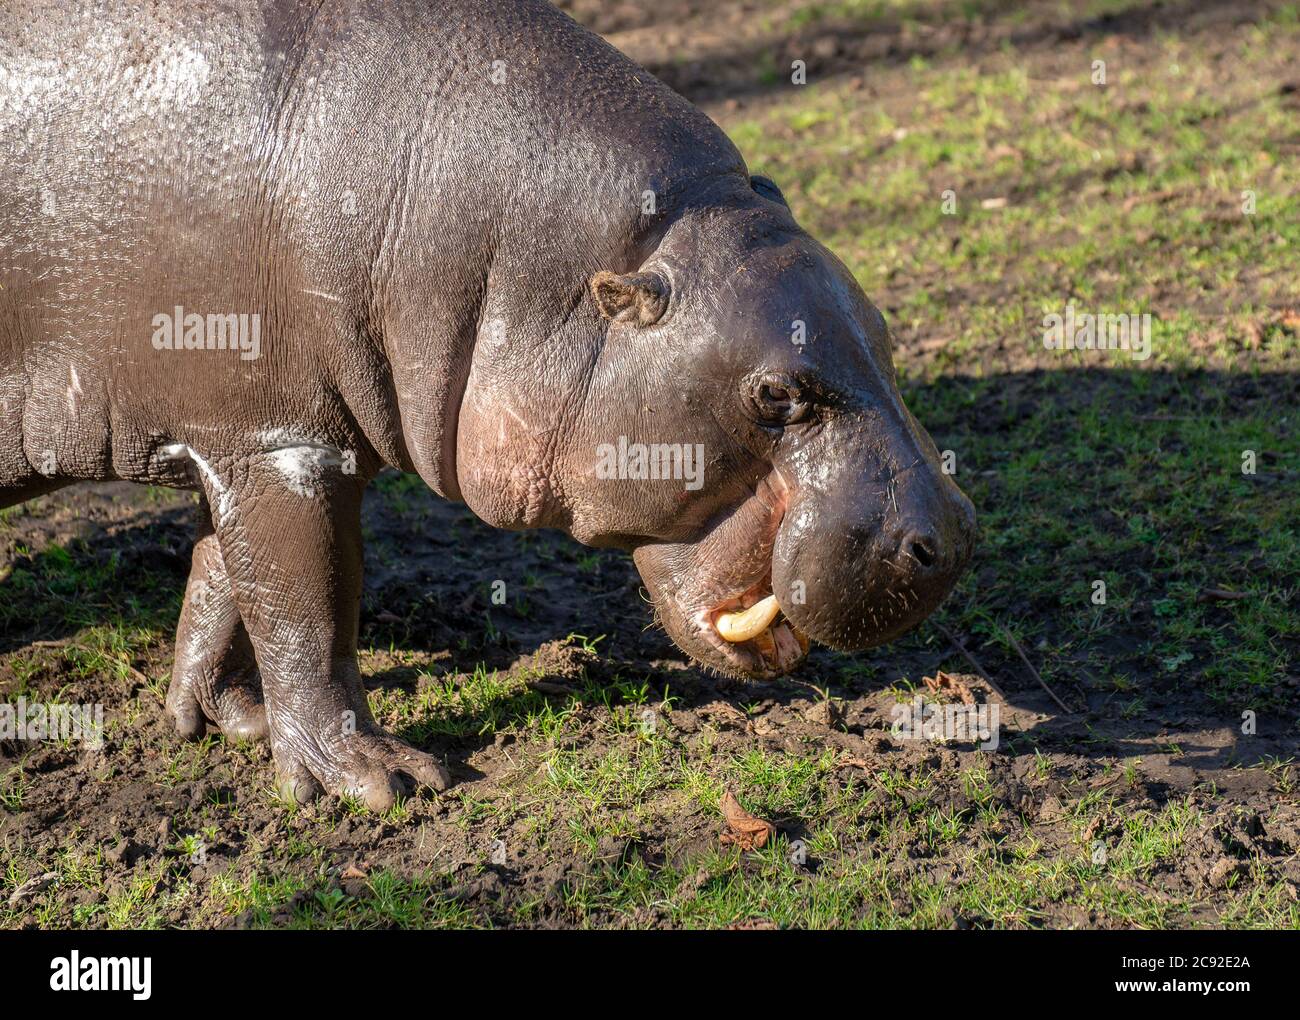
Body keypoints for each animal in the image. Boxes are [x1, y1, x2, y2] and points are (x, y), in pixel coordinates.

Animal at [0, 0, 975, 809]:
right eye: (774, 394)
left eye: (887, 330)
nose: (952, 537)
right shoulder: (278, 445)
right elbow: (308, 606)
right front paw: (381, 781)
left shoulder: (270, 435)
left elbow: (230, 578)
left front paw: (226, 720)